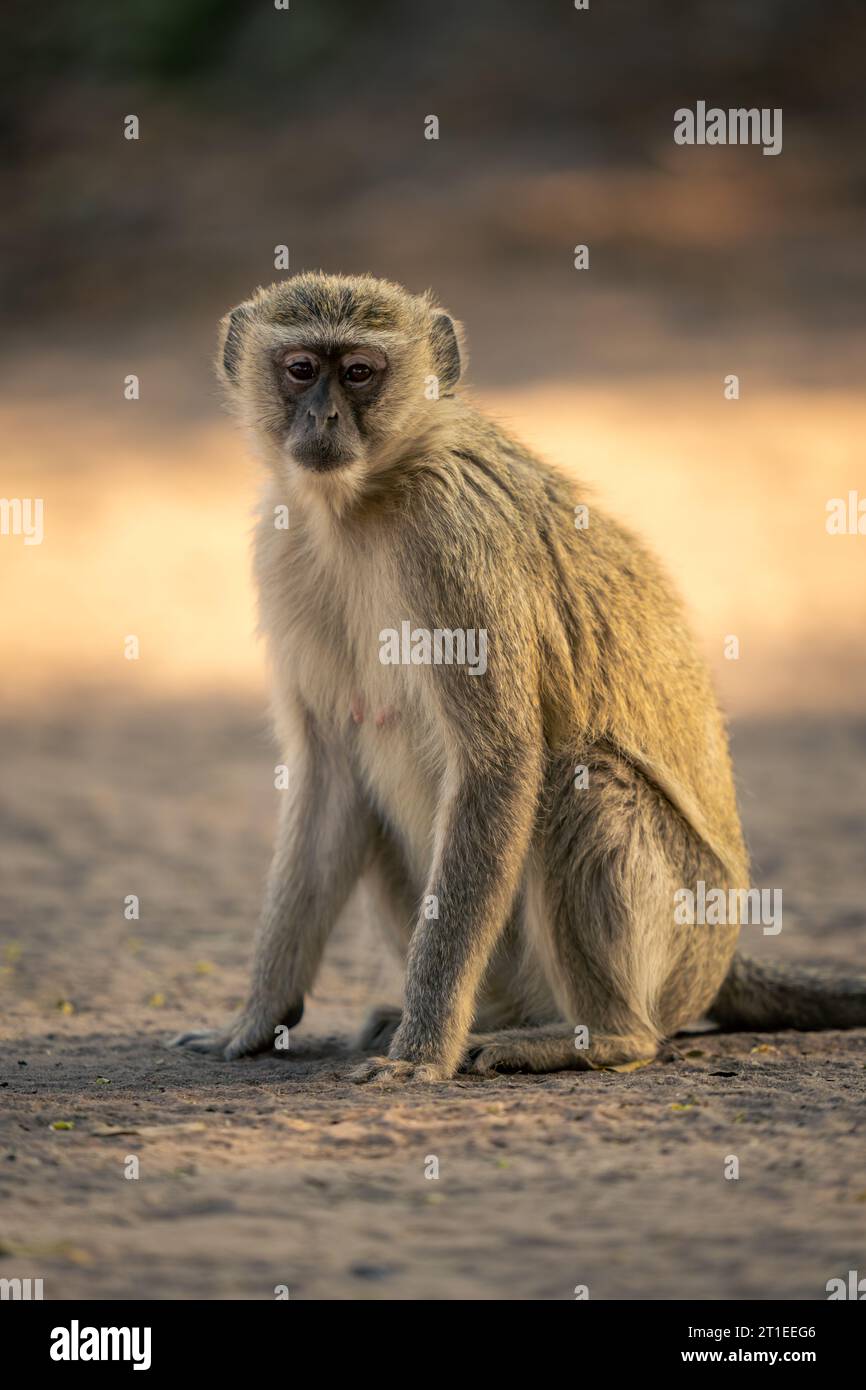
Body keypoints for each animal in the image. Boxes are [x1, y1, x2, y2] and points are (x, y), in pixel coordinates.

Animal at [173, 271, 866, 1082]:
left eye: (360, 372)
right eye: (302, 369)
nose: (324, 417)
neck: (363, 503)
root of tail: (721, 961)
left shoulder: (450, 541)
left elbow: (500, 764)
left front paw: (421, 1052)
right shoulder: (284, 548)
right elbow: (330, 774)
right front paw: (256, 1019)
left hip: (683, 937)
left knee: (581, 780)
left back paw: (605, 1036)